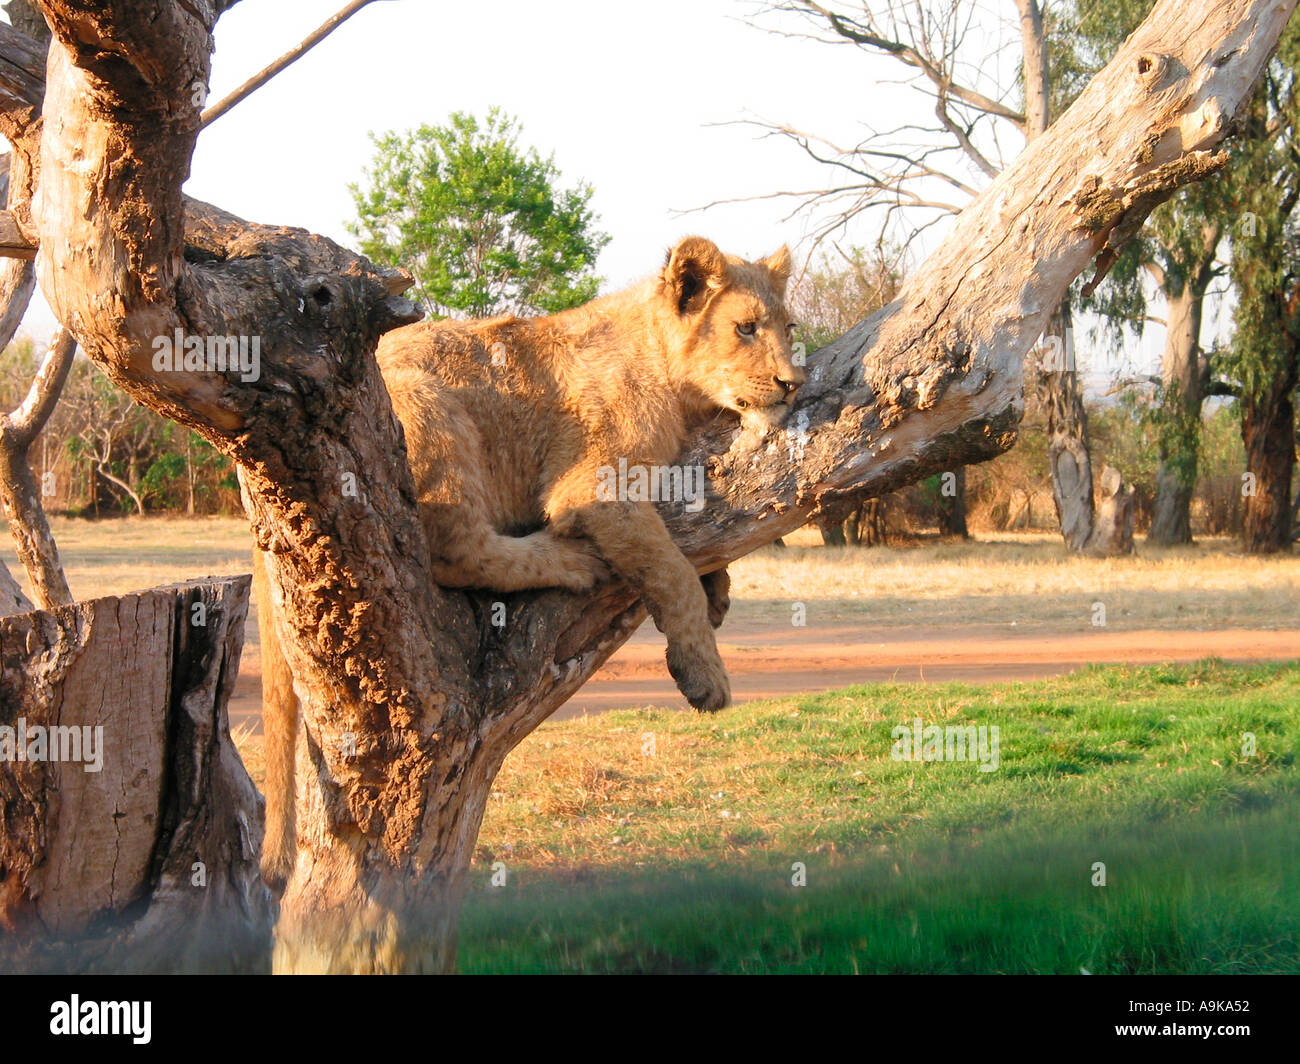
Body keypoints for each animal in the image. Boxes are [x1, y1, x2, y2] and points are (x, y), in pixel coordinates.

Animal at [257, 235, 803, 886]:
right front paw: (705, 674)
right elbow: (670, 568)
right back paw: (570, 559)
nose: (793, 384)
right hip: (431, 408)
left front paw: (719, 588)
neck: (672, 378)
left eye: (790, 328)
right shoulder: (593, 483)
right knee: (455, 549)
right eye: (745, 328)